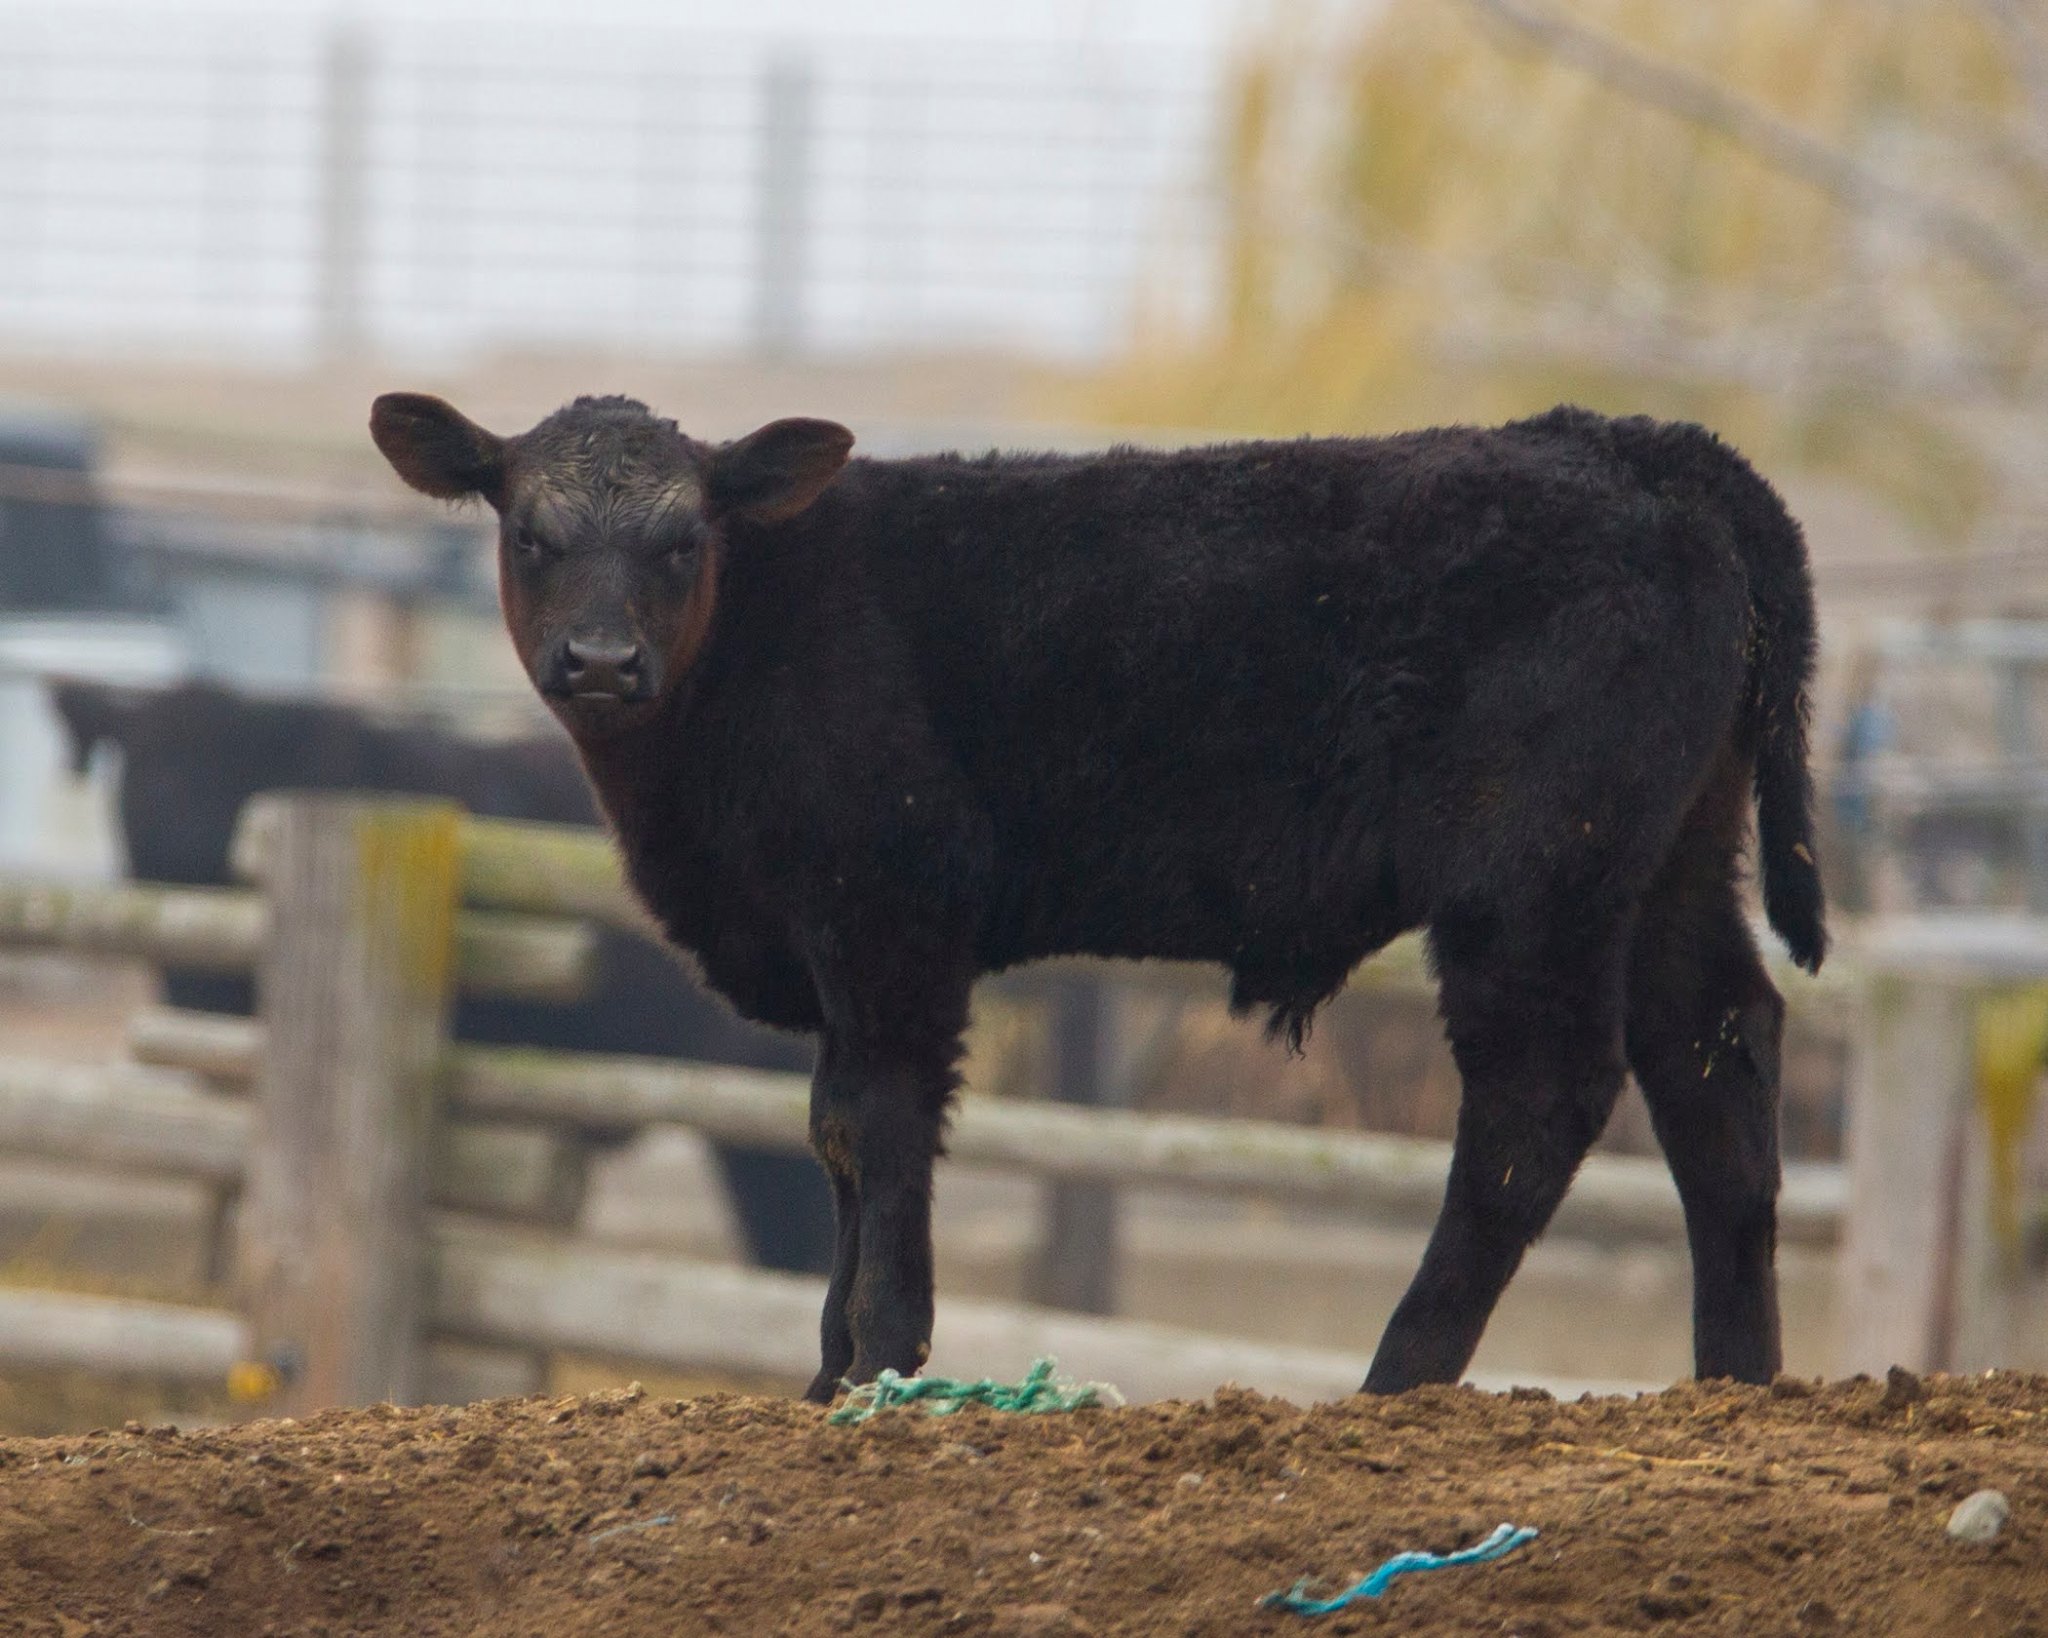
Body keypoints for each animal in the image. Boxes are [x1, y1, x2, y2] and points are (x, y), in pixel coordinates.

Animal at [370, 391, 1826, 1403]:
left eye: (682, 537)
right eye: (529, 531)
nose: (601, 661)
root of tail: (1631, 441)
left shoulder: (888, 914)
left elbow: (878, 1129)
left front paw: (880, 1363)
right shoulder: (831, 940)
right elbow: (832, 1130)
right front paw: (831, 1370)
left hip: (1529, 881)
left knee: (1538, 1099)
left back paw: (1393, 1377)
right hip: (1673, 861)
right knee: (1717, 1056)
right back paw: (1734, 1379)